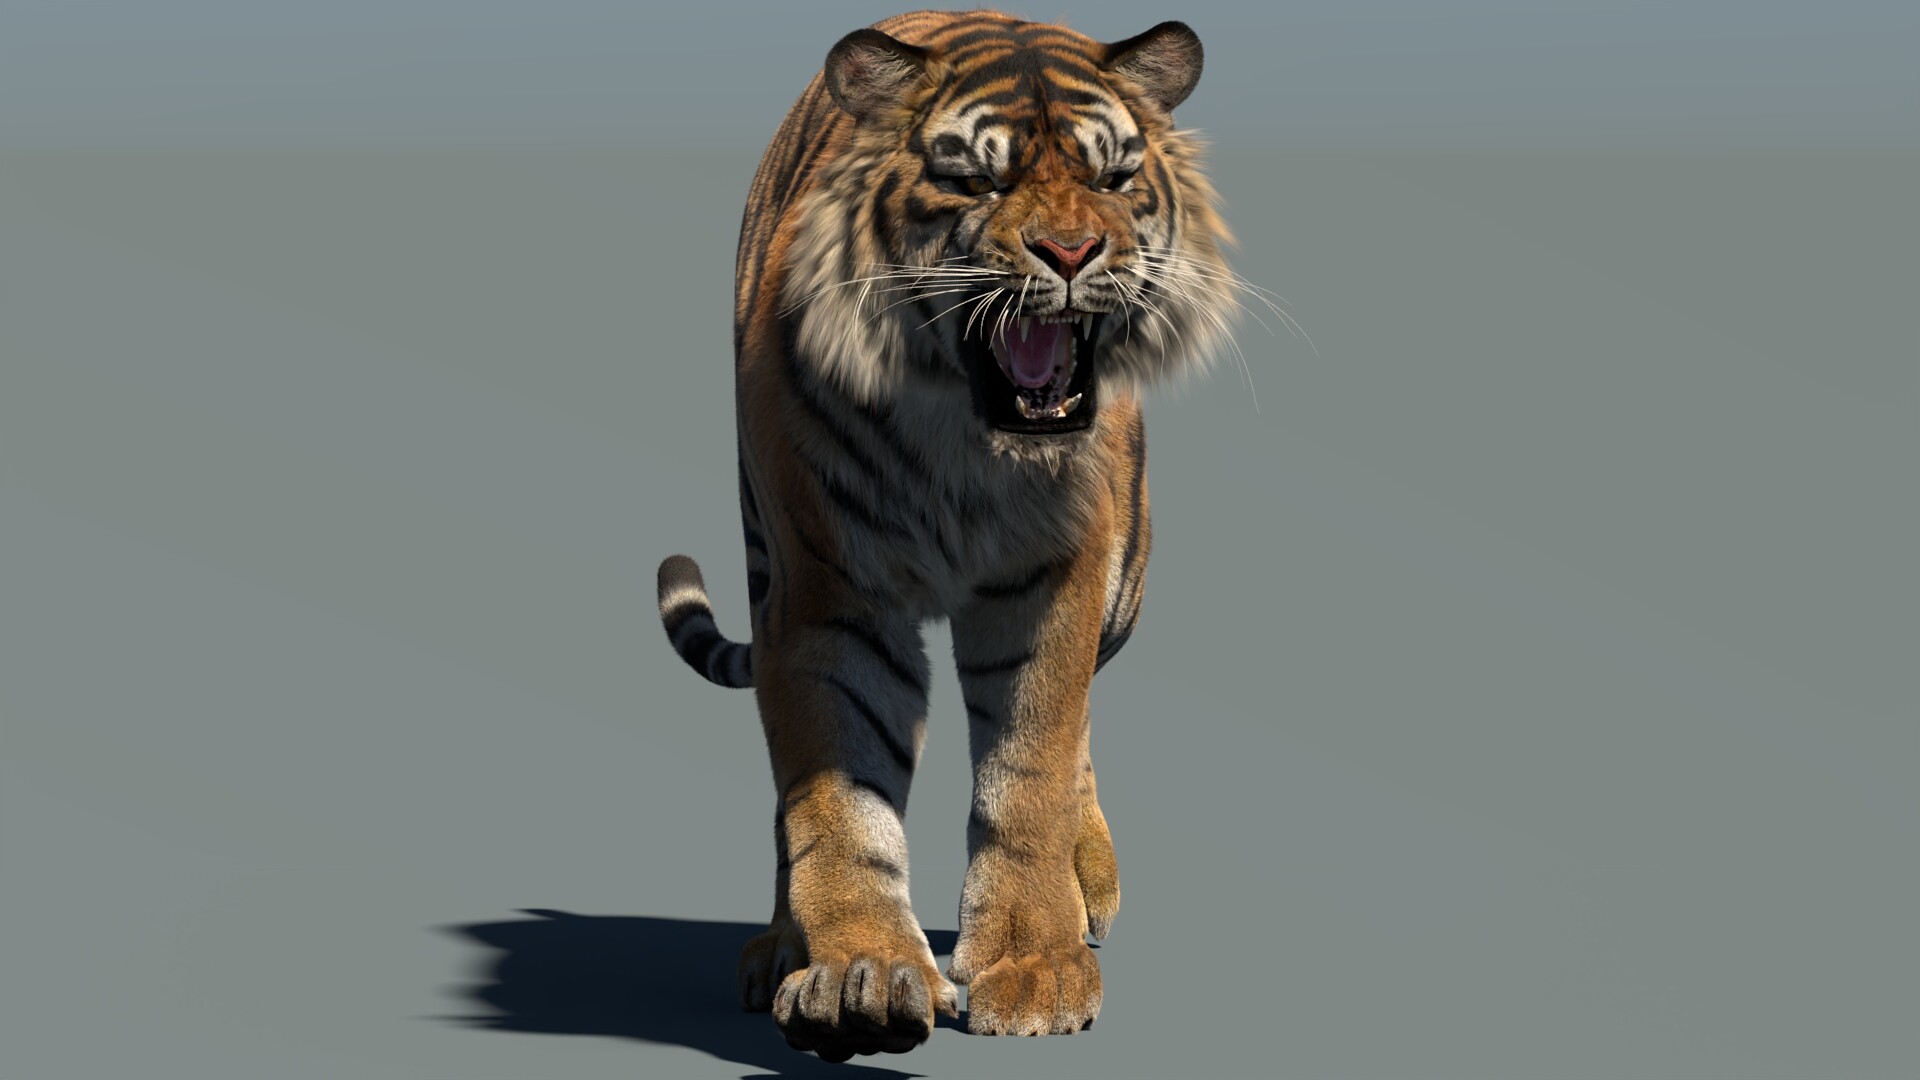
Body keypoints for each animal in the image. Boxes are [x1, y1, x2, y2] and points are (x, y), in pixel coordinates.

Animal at [655, 9, 1241, 1061]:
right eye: (976, 181)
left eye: (1111, 178)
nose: (1071, 252)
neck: (964, 442)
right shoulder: (825, 593)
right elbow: (838, 800)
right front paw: (858, 975)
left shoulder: (1055, 579)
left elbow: (1033, 770)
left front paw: (1035, 967)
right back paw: (779, 946)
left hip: (1125, 580)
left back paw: (1090, 888)